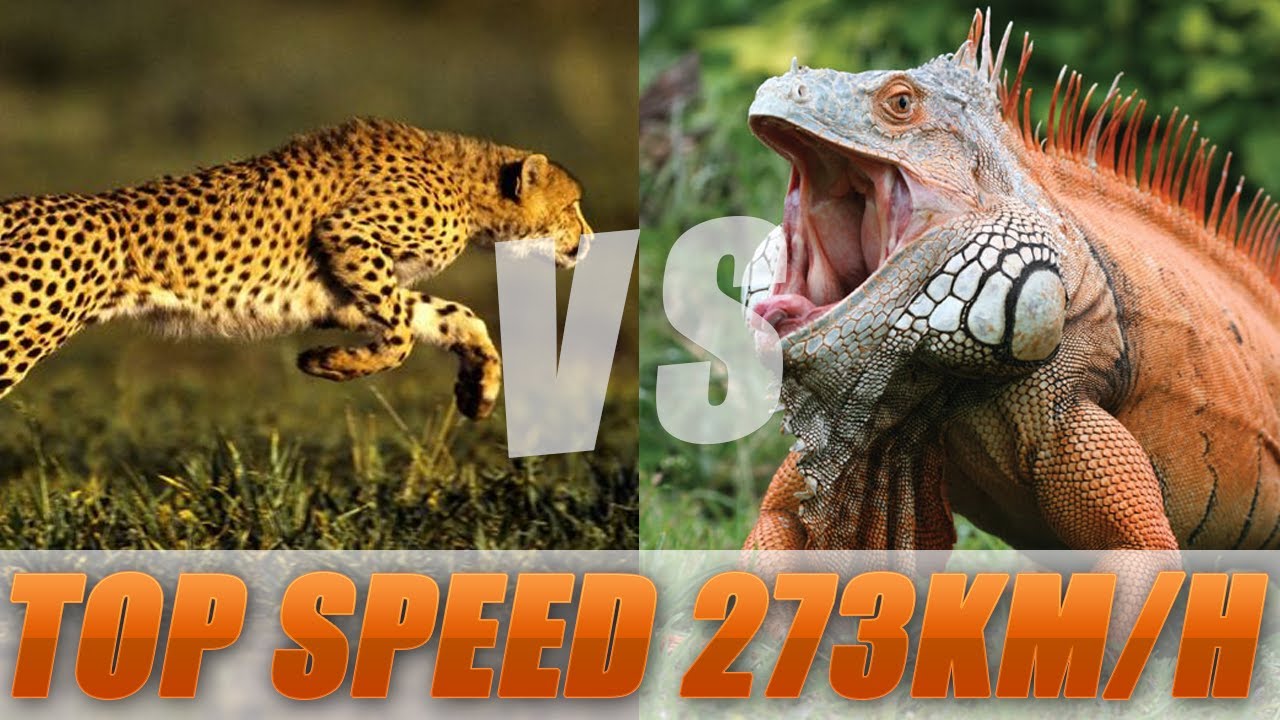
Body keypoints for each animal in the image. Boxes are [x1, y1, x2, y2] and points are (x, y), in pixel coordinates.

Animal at [0, 117, 593, 419]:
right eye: (572, 207)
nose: (587, 241)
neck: (468, 186)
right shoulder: (347, 236)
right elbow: (402, 336)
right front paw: (328, 363)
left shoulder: (336, 291)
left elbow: (454, 317)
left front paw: (479, 390)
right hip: (17, 335)